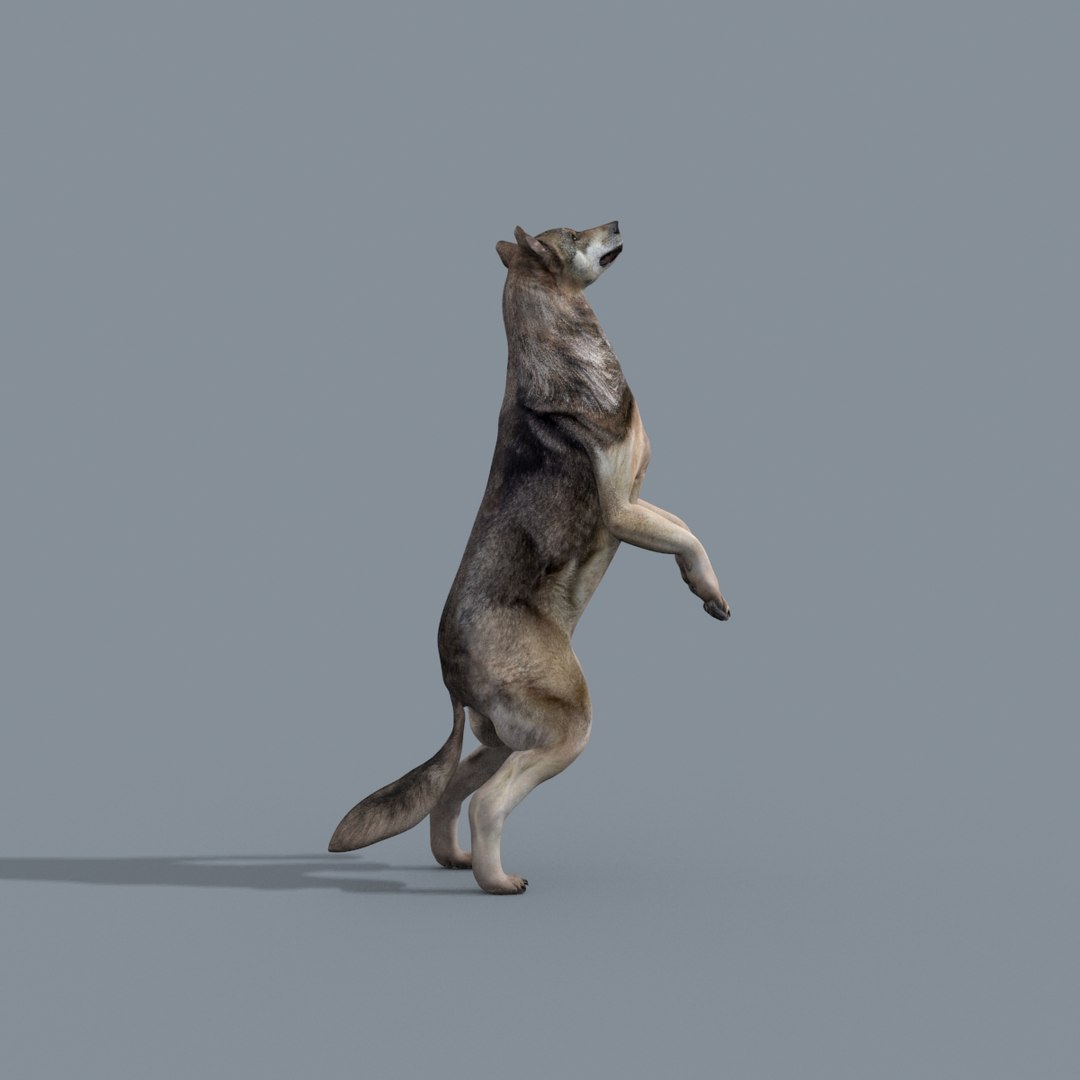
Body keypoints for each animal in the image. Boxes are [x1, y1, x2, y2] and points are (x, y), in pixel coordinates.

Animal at [328, 221, 730, 893]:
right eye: (573, 233)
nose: (617, 222)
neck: (566, 350)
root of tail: (449, 675)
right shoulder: (620, 511)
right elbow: (687, 536)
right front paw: (709, 589)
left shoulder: (639, 500)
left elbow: (684, 528)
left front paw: (706, 590)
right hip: (566, 730)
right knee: (487, 801)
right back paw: (497, 882)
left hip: (501, 740)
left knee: (449, 793)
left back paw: (456, 861)